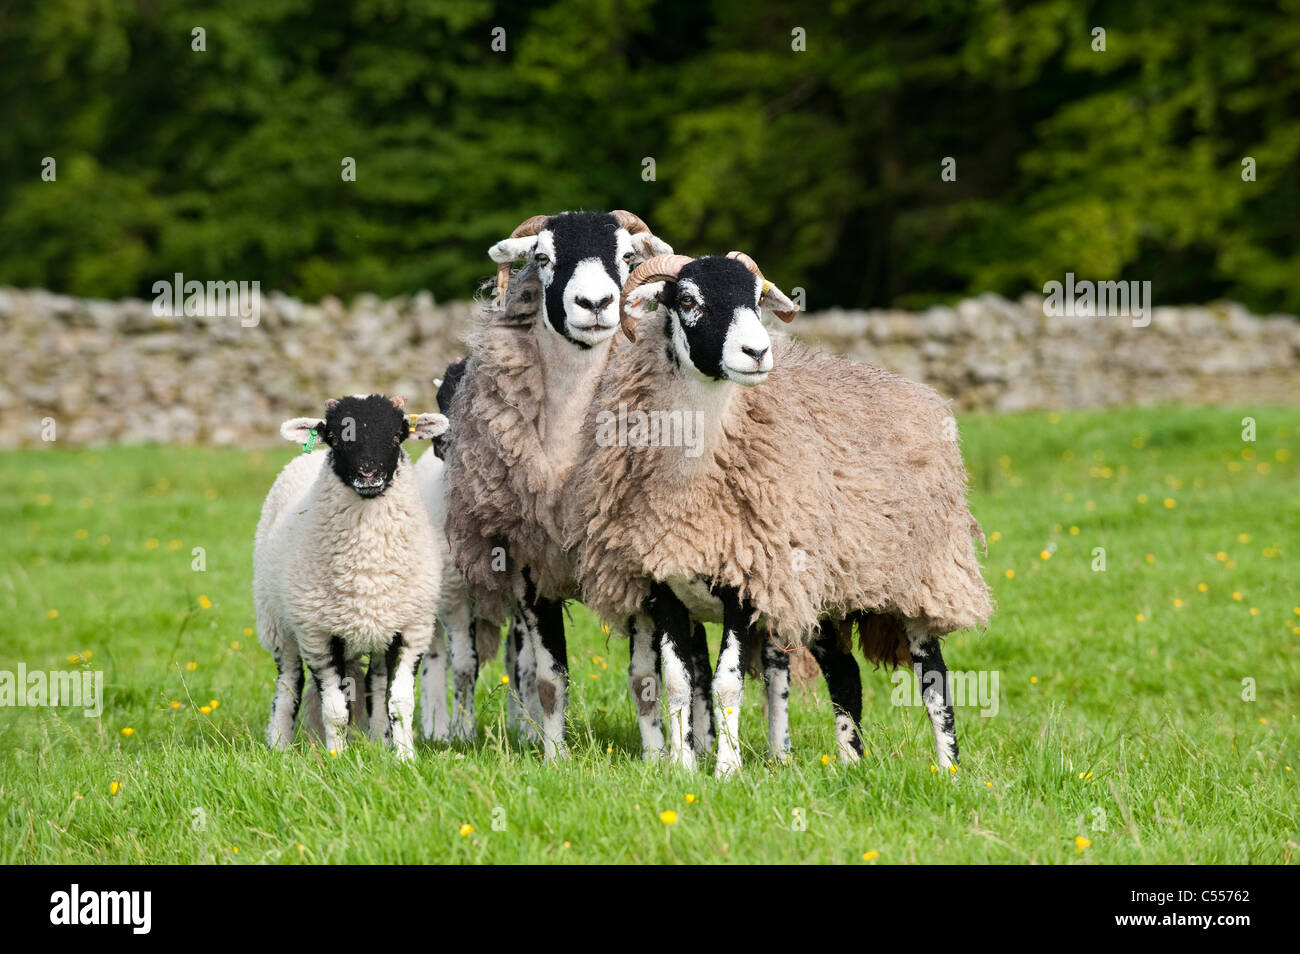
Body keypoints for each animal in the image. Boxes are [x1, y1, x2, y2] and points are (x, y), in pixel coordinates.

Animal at [254, 393, 449, 759]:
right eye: (335, 437)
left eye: (396, 435)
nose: (368, 472)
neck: (367, 567)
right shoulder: (317, 635)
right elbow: (335, 710)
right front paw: (337, 758)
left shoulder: (412, 628)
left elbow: (400, 702)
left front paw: (405, 758)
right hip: (276, 622)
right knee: (288, 684)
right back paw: (279, 746)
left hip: (378, 628)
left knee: (376, 683)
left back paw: (379, 742)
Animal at [444, 210, 681, 759]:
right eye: (543, 257)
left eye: (626, 257)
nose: (594, 304)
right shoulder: (532, 565)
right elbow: (550, 677)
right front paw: (554, 756)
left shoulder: (630, 564)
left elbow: (644, 678)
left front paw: (657, 756)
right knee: (517, 666)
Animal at [572, 252, 994, 776]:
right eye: (687, 299)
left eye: (757, 298)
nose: (757, 352)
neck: (690, 494)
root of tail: (923, 394)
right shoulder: (663, 583)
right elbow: (676, 682)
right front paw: (684, 768)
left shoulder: (746, 583)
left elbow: (726, 682)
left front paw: (726, 770)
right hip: (825, 589)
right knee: (845, 673)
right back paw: (850, 764)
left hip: (920, 579)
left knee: (933, 677)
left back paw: (949, 769)